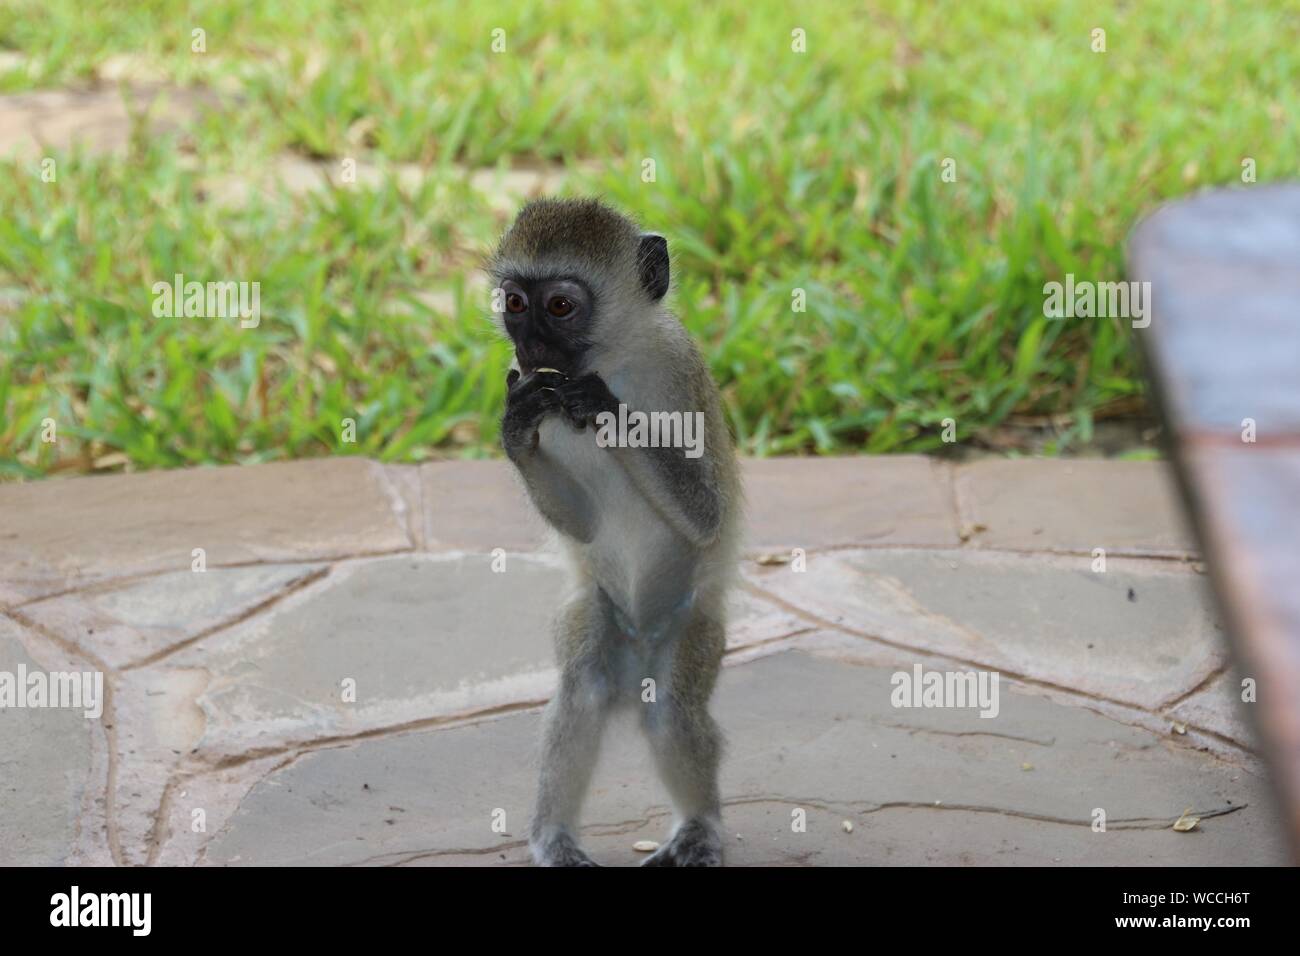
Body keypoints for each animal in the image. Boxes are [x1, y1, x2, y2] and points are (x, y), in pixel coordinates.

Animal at [488, 198, 742, 867]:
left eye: (559, 307)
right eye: (515, 303)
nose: (530, 343)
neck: (615, 360)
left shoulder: (680, 369)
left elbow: (706, 515)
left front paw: (605, 409)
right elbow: (580, 521)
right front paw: (516, 427)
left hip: (692, 630)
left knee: (672, 712)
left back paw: (700, 825)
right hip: (596, 615)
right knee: (582, 691)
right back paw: (553, 837)